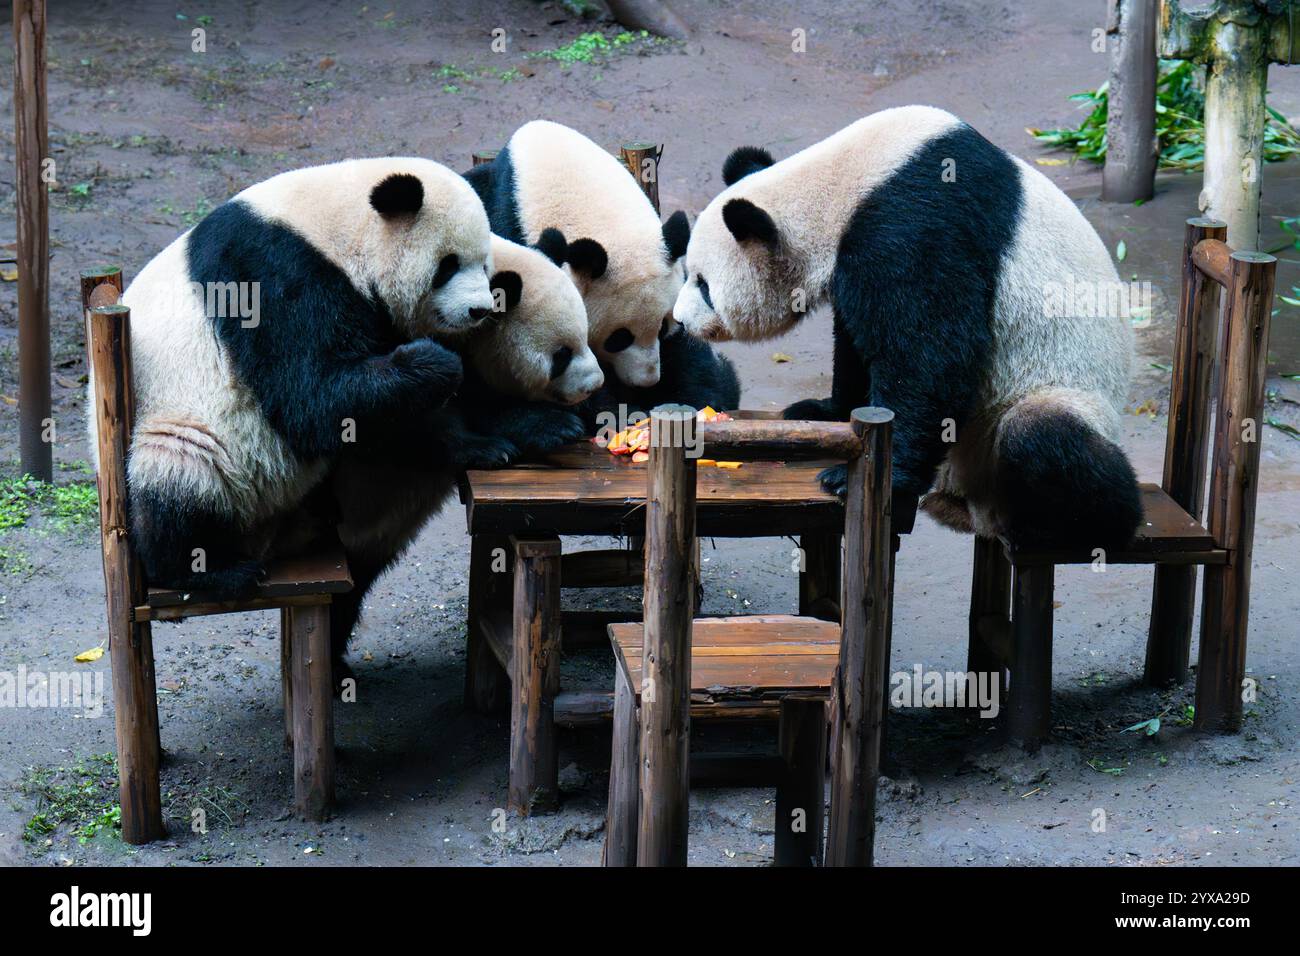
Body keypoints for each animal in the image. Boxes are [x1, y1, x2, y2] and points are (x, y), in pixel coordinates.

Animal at [89, 157, 501, 595]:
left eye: (485, 264)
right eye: (448, 265)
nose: (479, 310)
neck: (337, 225)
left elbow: (389, 416)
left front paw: (481, 445)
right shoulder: (270, 270)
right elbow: (311, 399)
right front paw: (434, 362)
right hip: (180, 426)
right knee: (181, 474)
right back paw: (208, 569)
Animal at [318, 232, 602, 679]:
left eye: (588, 336)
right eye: (560, 356)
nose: (594, 384)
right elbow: (394, 418)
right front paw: (542, 429)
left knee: (352, 589)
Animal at [673, 106, 1142, 550]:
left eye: (704, 284)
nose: (678, 320)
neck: (845, 186)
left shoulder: (917, 223)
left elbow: (928, 353)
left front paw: (863, 475)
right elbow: (857, 344)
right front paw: (825, 411)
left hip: (1061, 396)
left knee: (1040, 433)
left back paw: (1084, 526)